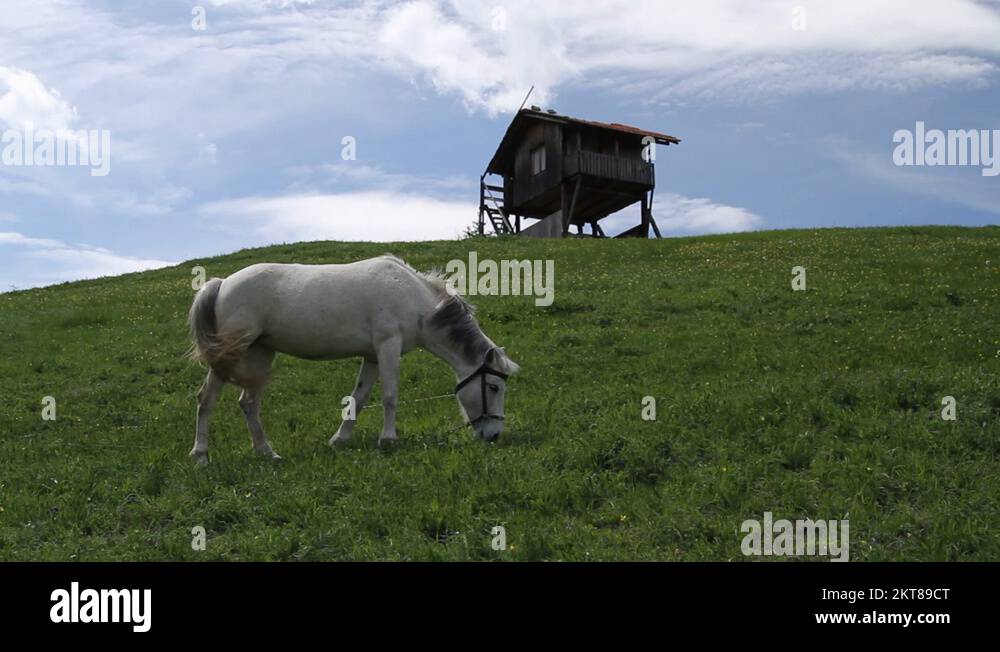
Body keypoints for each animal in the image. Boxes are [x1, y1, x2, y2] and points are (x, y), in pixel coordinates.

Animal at [186, 255, 520, 463]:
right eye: (493, 387)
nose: (493, 435)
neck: (414, 299)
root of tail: (222, 283)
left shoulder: (372, 356)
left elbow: (359, 398)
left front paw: (340, 440)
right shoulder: (387, 347)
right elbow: (389, 396)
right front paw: (388, 440)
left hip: (260, 354)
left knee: (249, 403)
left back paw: (267, 453)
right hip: (231, 354)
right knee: (207, 399)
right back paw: (201, 454)